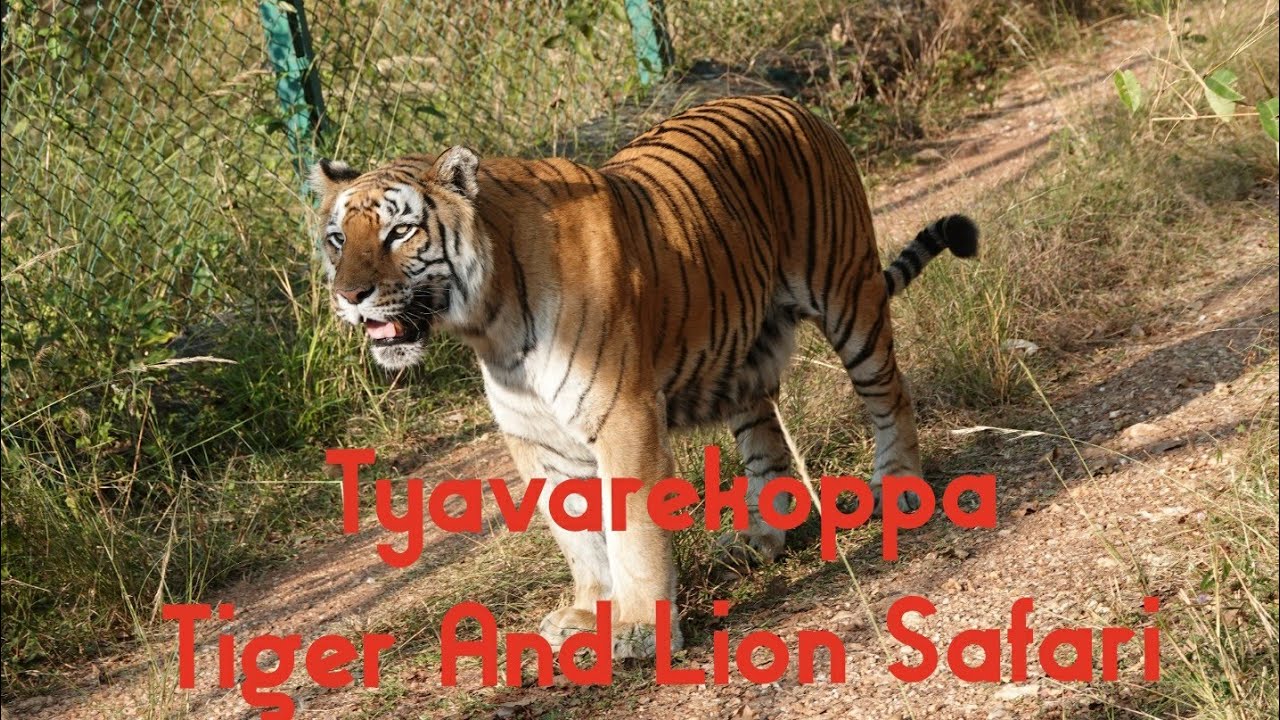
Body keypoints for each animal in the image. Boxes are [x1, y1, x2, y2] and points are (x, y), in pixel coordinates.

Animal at [309, 94, 978, 660]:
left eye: (400, 231)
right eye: (338, 238)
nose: (349, 296)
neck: (488, 323)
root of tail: (788, 101)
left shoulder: (622, 413)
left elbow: (632, 532)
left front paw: (636, 631)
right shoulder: (536, 437)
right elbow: (579, 539)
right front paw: (589, 614)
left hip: (848, 295)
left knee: (888, 392)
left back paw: (899, 488)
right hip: (744, 351)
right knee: (763, 440)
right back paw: (758, 538)